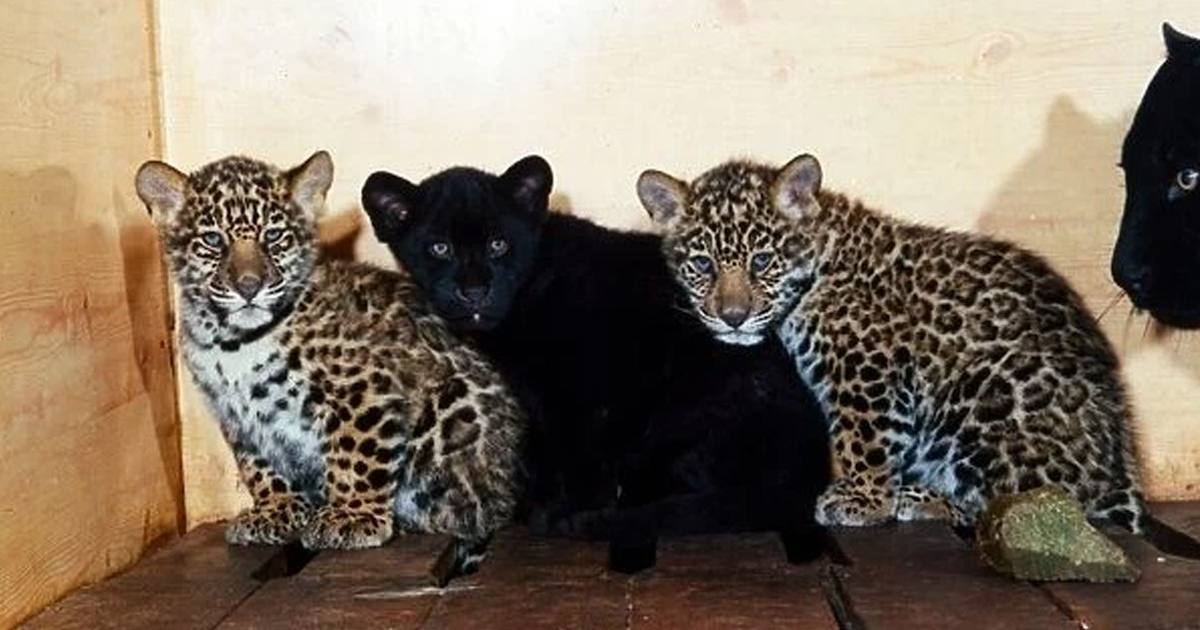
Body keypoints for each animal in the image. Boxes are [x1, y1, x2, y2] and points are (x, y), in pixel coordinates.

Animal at [135, 151, 524, 585]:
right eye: (213, 240)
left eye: (274, 236)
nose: (249, 286)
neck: (233, 341)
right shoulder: (235, 413)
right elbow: (257, 463)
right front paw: (276, 510)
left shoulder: (363, 390)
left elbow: (354, 456)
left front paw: (351, 518)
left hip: (453, 410)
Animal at [638, 151, 1200, 555]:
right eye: (702, 266)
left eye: (762, 261)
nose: (732, 316)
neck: (819, 264)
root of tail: (1121, 482)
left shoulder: (866, 366)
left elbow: (863, 437)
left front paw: (863, 498)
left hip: (986, 391)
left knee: (1039, 505)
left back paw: (920, 498)